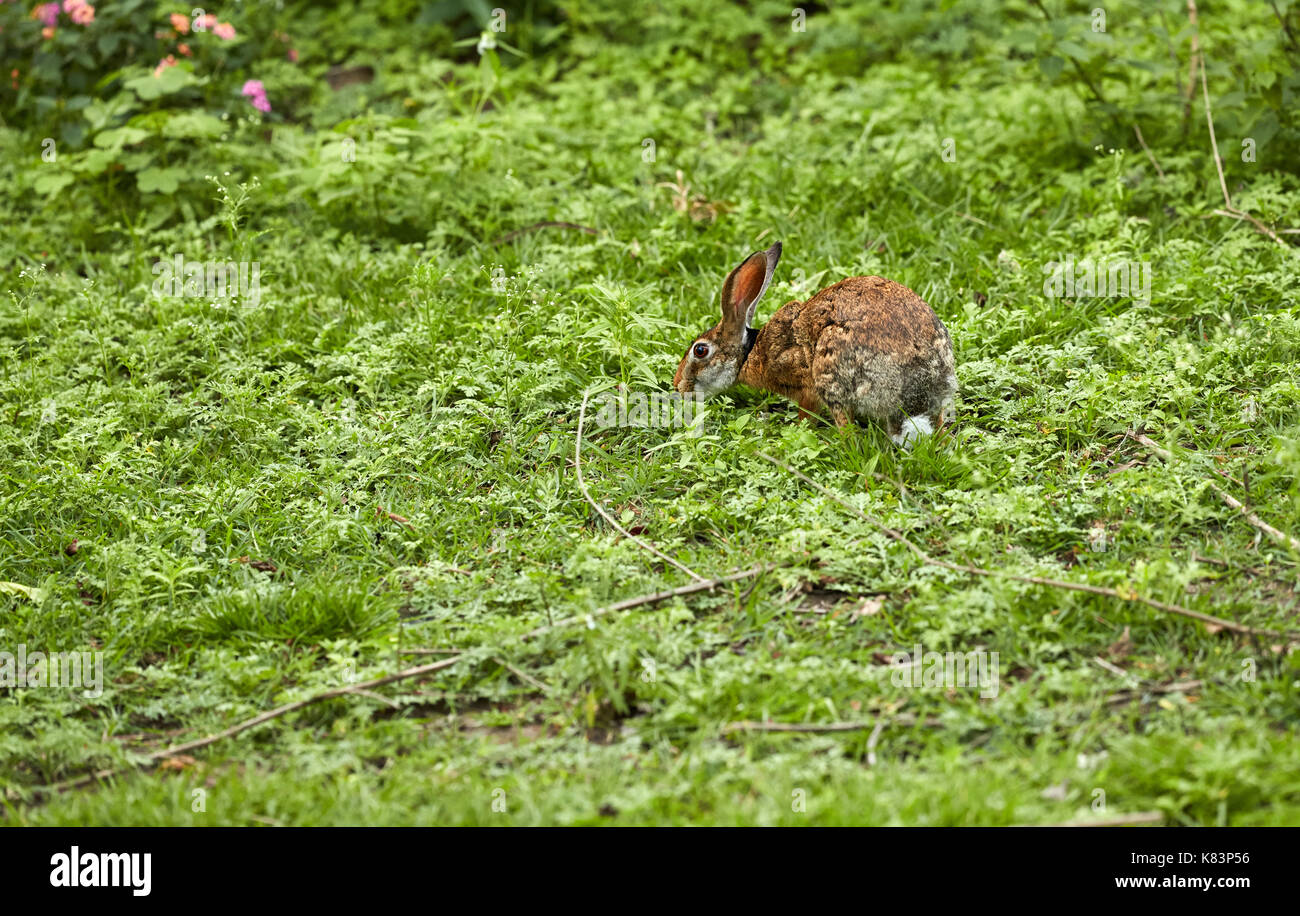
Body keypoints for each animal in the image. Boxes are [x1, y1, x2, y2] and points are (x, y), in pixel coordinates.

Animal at [672, 242, 956, 447]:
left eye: (700, 350)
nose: (678, 386)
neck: (750, 352)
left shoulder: (802, 384)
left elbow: (806, 414)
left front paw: (798, 430)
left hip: (831, 375)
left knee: (846, 427)